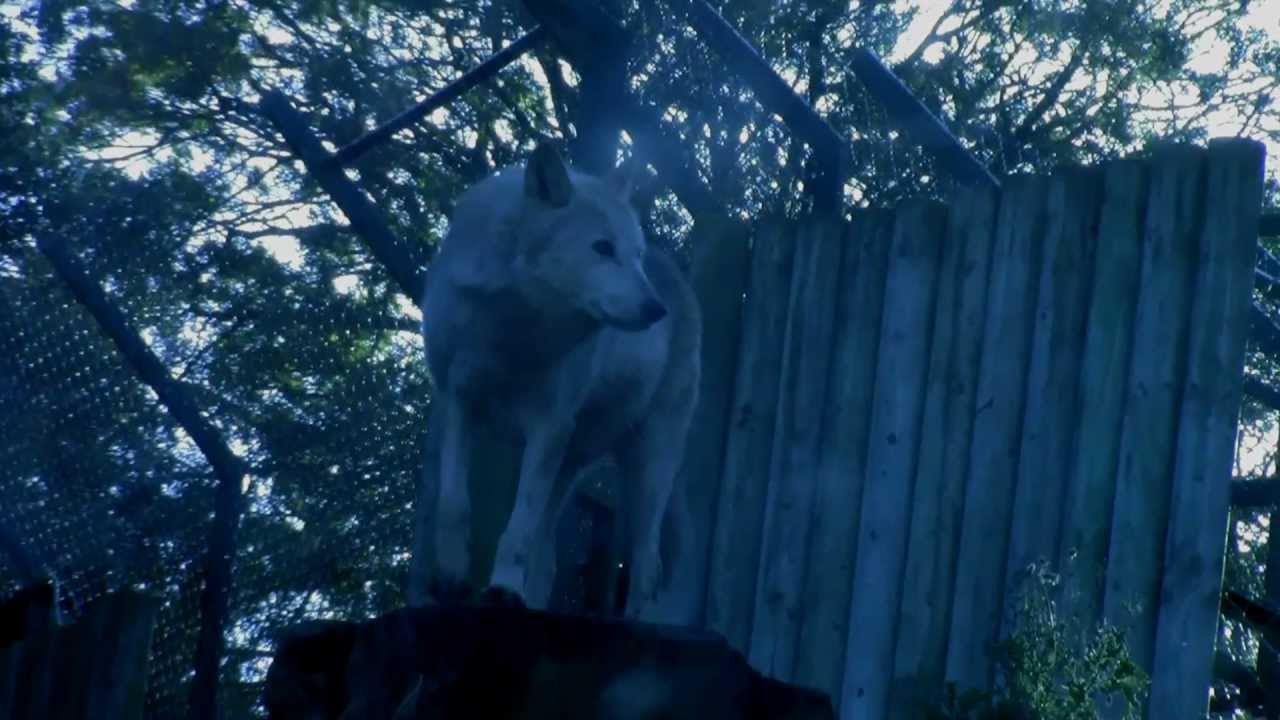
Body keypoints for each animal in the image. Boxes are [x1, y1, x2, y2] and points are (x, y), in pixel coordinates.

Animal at [420, 141, 702, 622]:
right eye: (603, 248)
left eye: (636, 254)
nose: (655, 310)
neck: (515, 327)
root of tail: (679, 278)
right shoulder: (458, 403)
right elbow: (453, 504)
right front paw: (452, 579)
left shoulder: (549, 424)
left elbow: (517, 530)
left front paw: (502, 590)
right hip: (571, 463)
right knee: (548, 556)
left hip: (648, 462)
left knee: (647, 564)